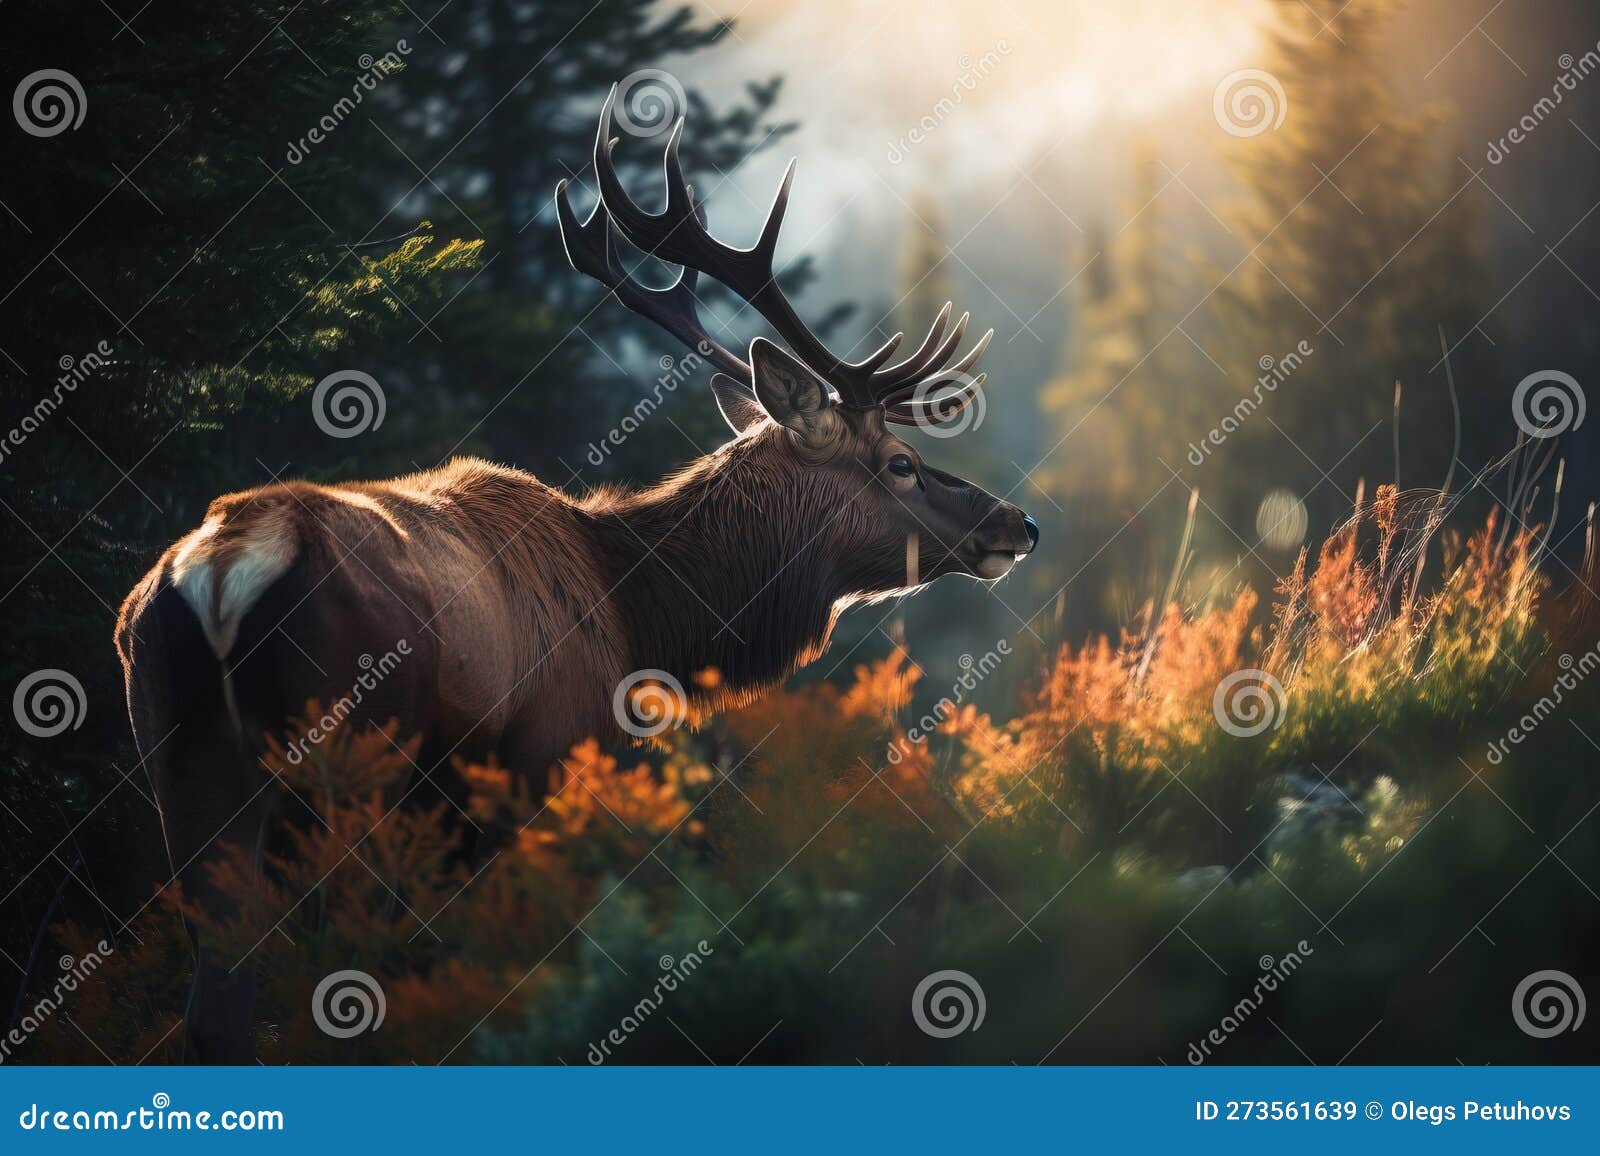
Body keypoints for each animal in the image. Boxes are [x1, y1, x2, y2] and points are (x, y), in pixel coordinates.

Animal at [114, 88, 1038, 1060]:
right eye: (901, 463)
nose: (1017, 523)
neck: (640, 616)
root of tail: (221, 574)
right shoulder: (546, 763)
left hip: (178, 761)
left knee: (217, 997)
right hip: (355, 757)